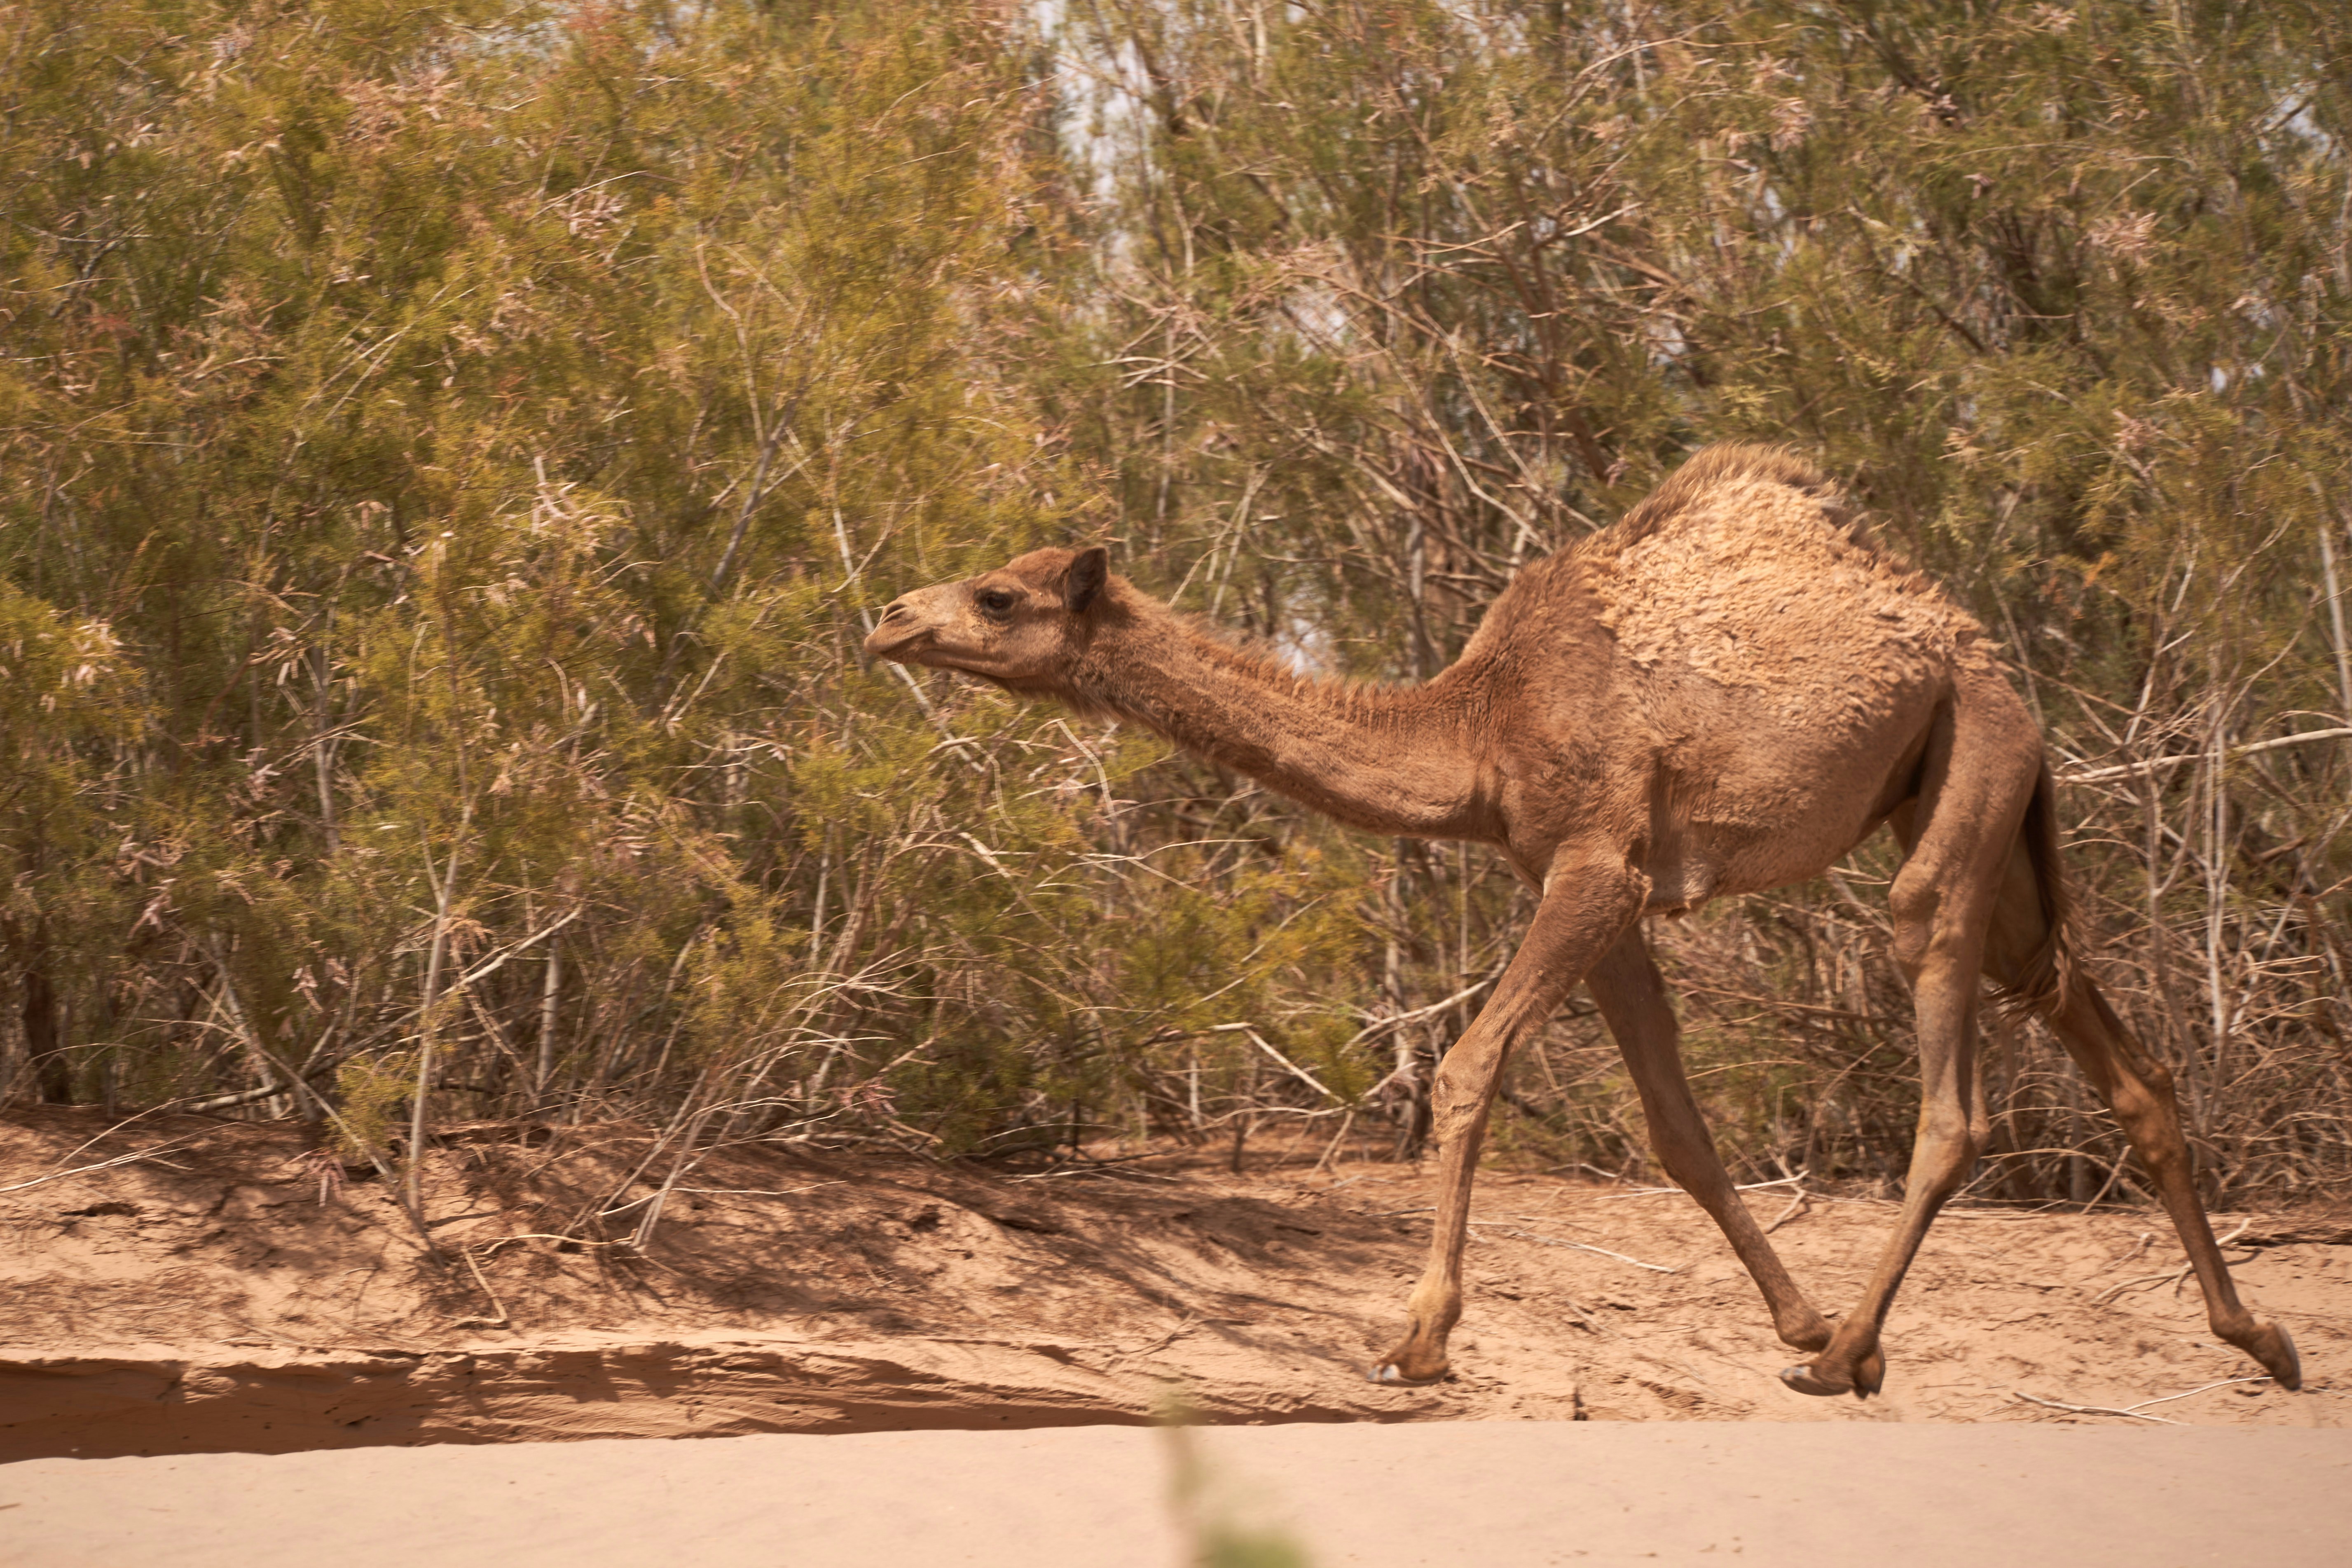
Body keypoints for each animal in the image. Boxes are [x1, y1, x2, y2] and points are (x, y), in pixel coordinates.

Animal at [861, 444, 2301, 1399]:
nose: (885, 617)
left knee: (1949, 1081)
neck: (1476, 718)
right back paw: (2260, 1337)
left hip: (1972, 759)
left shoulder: (1596, 861)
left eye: (997, 596)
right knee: (2097, 1030)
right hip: (1972, 793)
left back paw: (1851, 1356)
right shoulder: (1586, 886)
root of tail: (1980, 645)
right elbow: (1677, 1130)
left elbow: (1466, 1066)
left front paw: (1415, 1336)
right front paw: (1793, 1315)